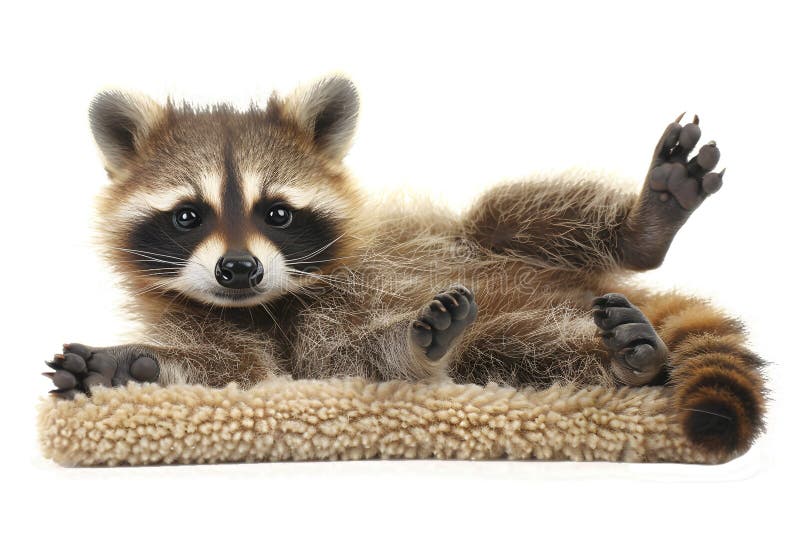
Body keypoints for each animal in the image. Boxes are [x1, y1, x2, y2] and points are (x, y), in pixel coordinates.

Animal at [44, 76, 766, 454]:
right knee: (515, 348)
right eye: (188, 216)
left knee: (507, 212)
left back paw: (642, 232)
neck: (267, 300)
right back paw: (622, 360)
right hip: (512, 338)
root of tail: (573, 289)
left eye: (276, 212)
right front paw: (130, 364)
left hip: (481, 239)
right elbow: (239, 371)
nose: (239, 270)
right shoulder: (232, 329)